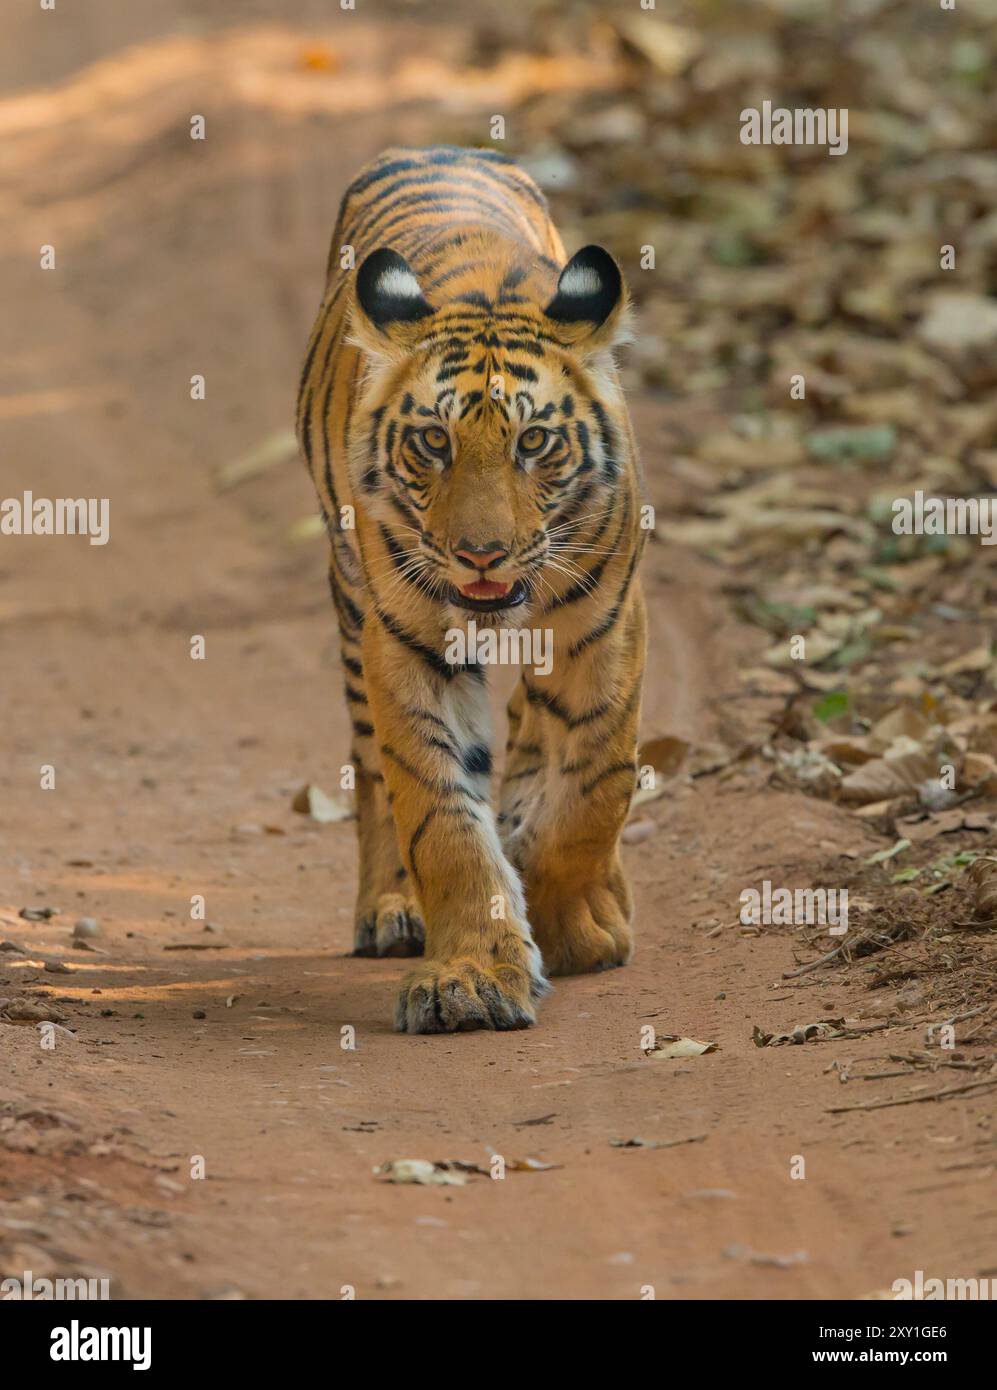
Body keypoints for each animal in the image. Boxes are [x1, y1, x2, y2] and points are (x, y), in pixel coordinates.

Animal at [296, 146, 647, 1034]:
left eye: (534, 441)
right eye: (432, 441)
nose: (480, 554)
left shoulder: (604, 626)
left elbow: (594, 788)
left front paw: (574, 925)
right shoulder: (406, 640)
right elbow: (439, 814)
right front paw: (470, 976)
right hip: (352, 605)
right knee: (372, 764)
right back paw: (393, 909)